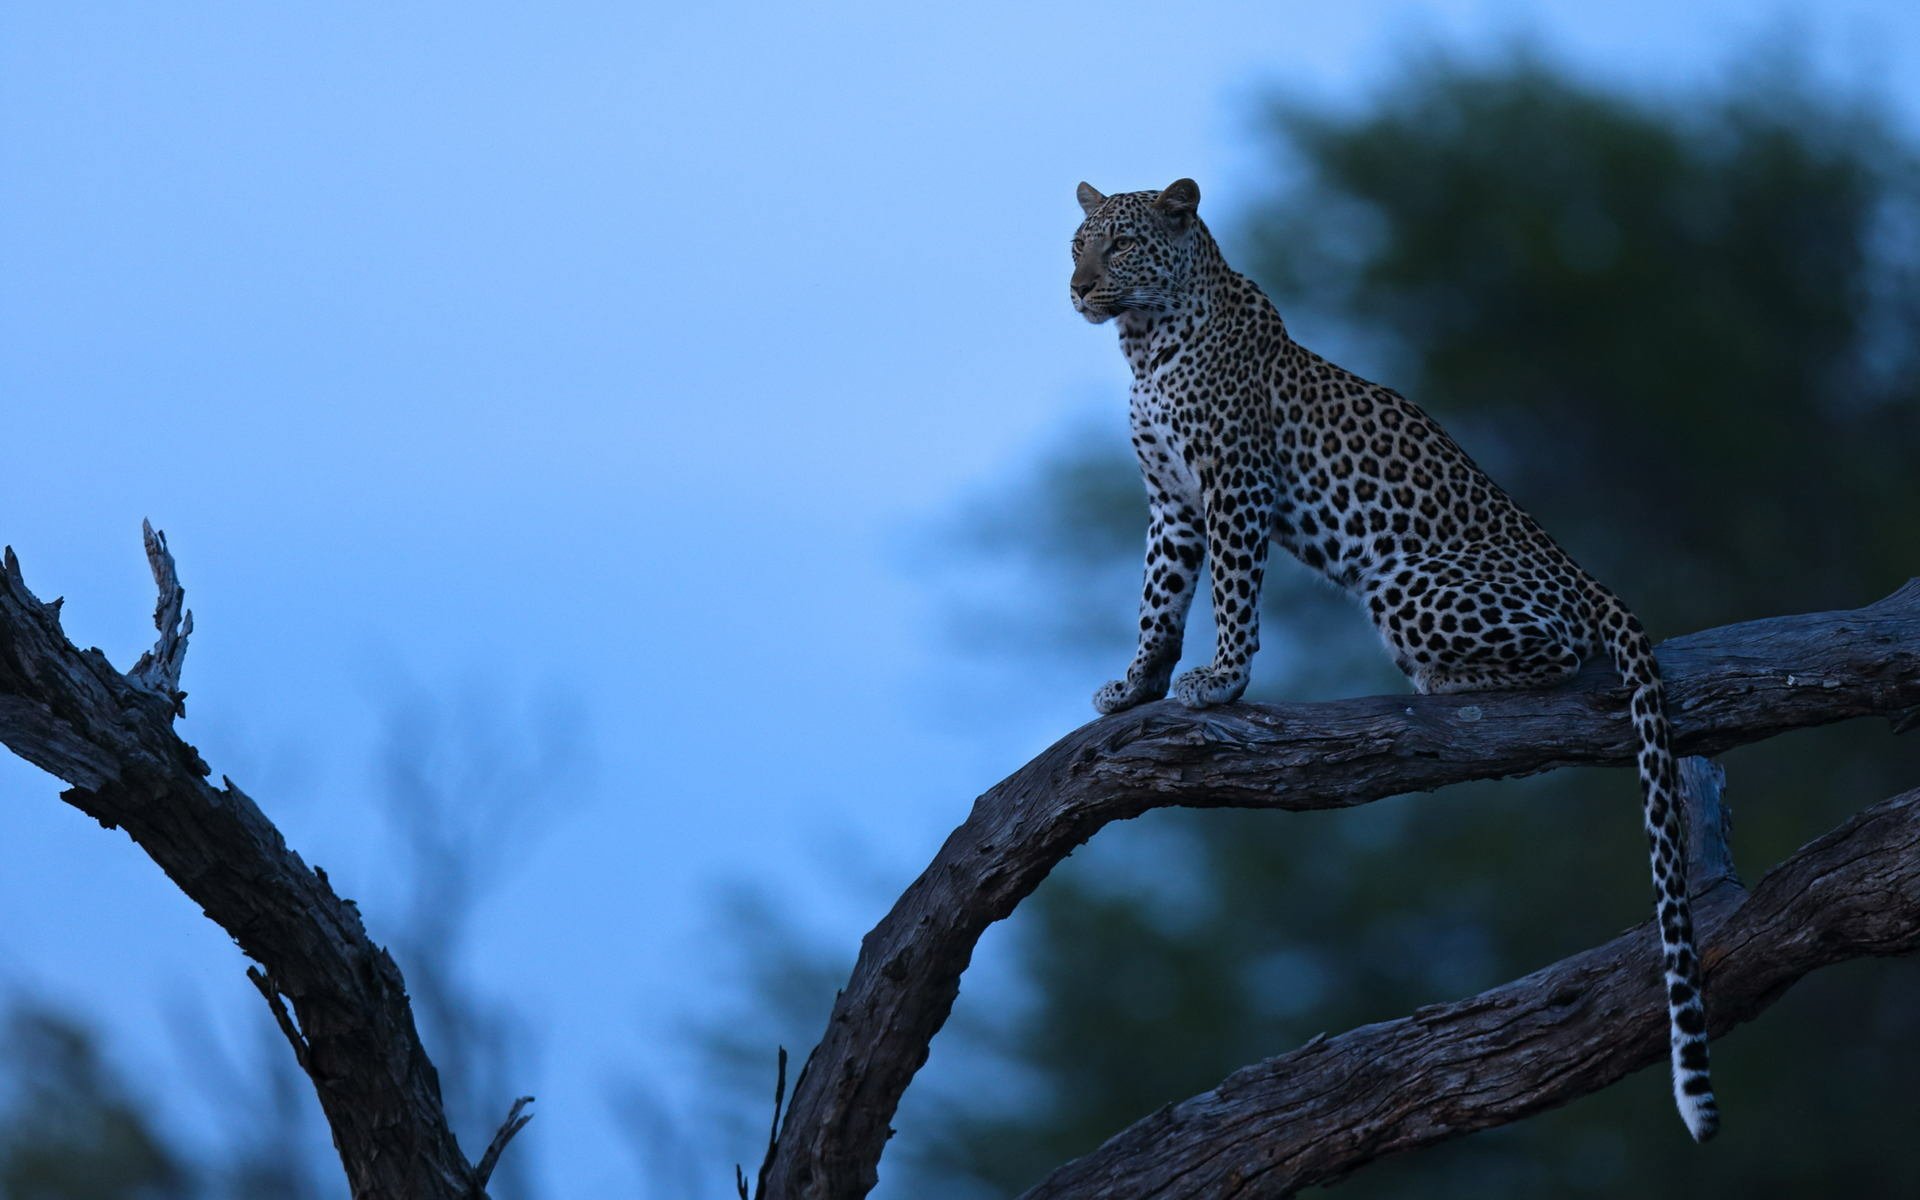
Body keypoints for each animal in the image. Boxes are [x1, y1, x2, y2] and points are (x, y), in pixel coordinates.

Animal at [1070, 177, 1718, 1141]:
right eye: (1076, 243)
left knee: (1562, 652)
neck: (1146, 342)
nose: (1078, 288)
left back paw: (1444, 677)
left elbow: (1231, 593)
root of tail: (1581, 570)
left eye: (1119, 246)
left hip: (1402, 581)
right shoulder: (1171, 499)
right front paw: (1137, 682)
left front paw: (1221, 680)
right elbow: (1158, 596)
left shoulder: (1234, 484)